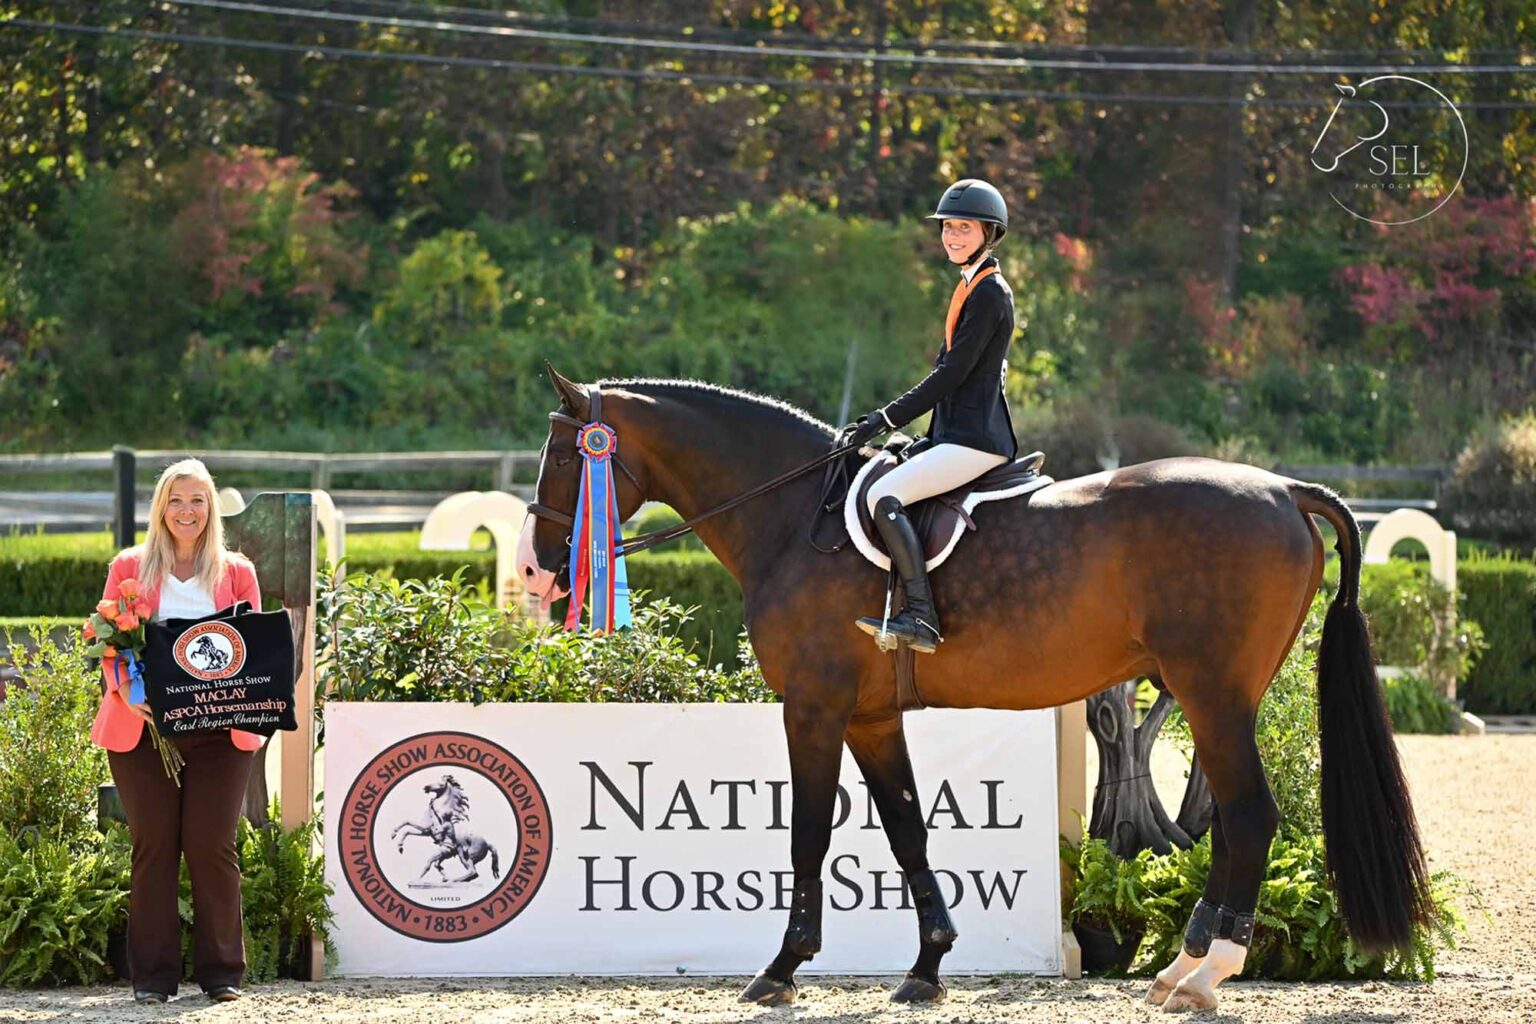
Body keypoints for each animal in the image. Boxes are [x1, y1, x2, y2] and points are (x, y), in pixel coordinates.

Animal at [515, 368, 1431, 1013]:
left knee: (1247, 816)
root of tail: (1283, 488)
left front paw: (780, 968)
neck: (794, 517)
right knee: (1232, 818)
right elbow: (908, 832)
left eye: (563, 454)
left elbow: (808, 834)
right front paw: (926, 967)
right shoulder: (870, 717)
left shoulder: (812, 707)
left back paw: (1202, 975)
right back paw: (1185, 969)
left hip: (1211, 693)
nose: (533, 569)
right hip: (1221, 697)